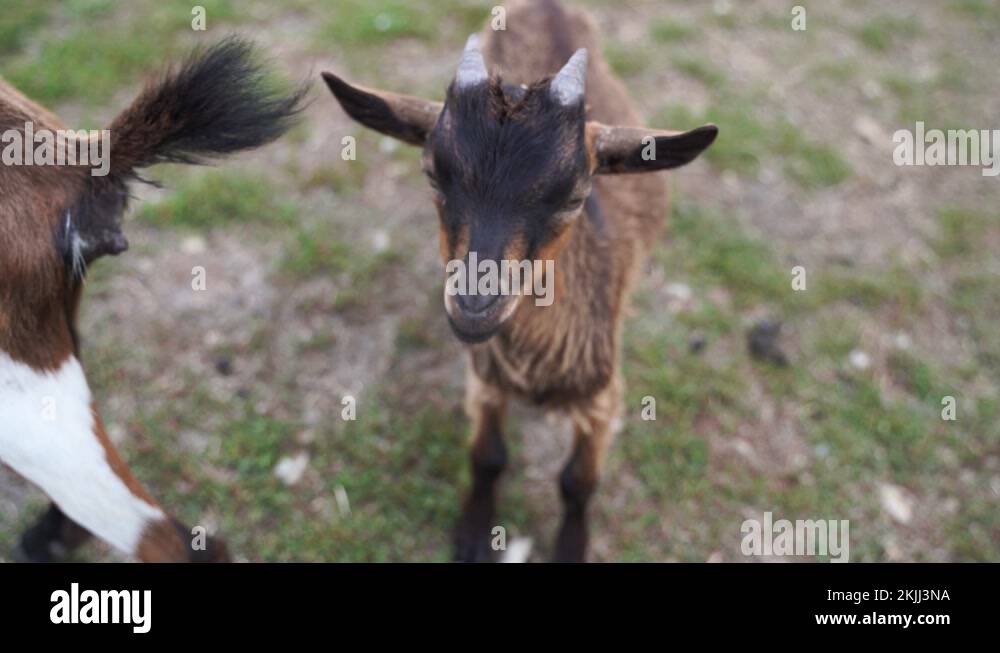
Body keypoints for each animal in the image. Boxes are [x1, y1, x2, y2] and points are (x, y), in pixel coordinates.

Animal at [323, 0, 717, 561]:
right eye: (432, 173)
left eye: (575, 195)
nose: (475, 305)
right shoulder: (486, 378)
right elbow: (488, 456)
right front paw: (473, 534)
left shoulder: (603, 397)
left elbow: (578, 481)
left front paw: (571, 546)